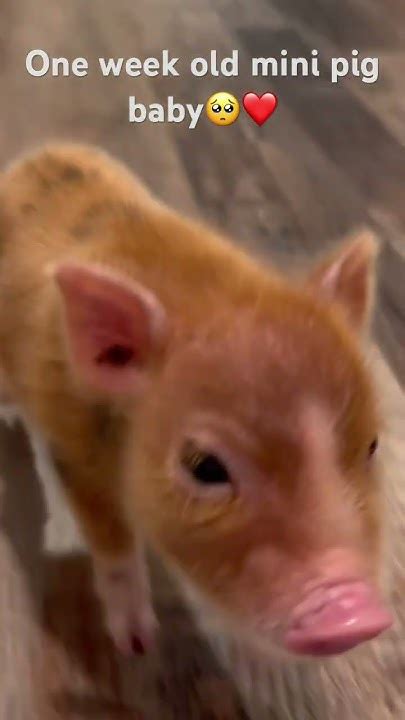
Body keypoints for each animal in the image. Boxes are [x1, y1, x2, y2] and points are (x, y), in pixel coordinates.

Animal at [0, 143, 401, 718]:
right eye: (204, 466)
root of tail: (45, 151)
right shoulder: (71, 454)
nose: (356, 614)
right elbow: (114, 550)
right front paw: (137, 645)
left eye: (371, 445)